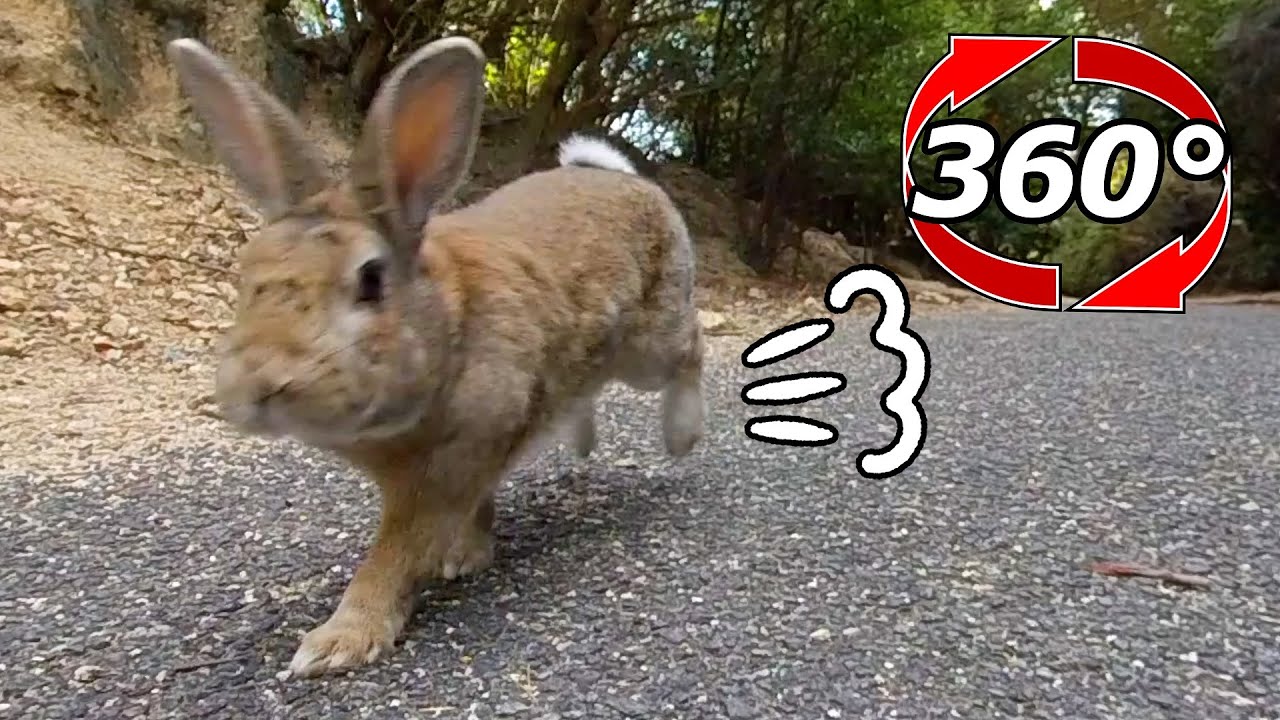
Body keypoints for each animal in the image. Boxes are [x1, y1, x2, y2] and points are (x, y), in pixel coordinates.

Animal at [165, 34, 706, 678]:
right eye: (246, 272)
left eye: (371, 279)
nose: (258, 384)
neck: (450, 329)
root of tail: (628, 182)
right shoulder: (474, 455)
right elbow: (474, 506)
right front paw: (466, 557)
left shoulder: (452, 461)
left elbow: (395, 554)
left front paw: (339, 642)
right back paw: (580, 442)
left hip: (651, 344)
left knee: (690, 350)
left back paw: (682, 437)